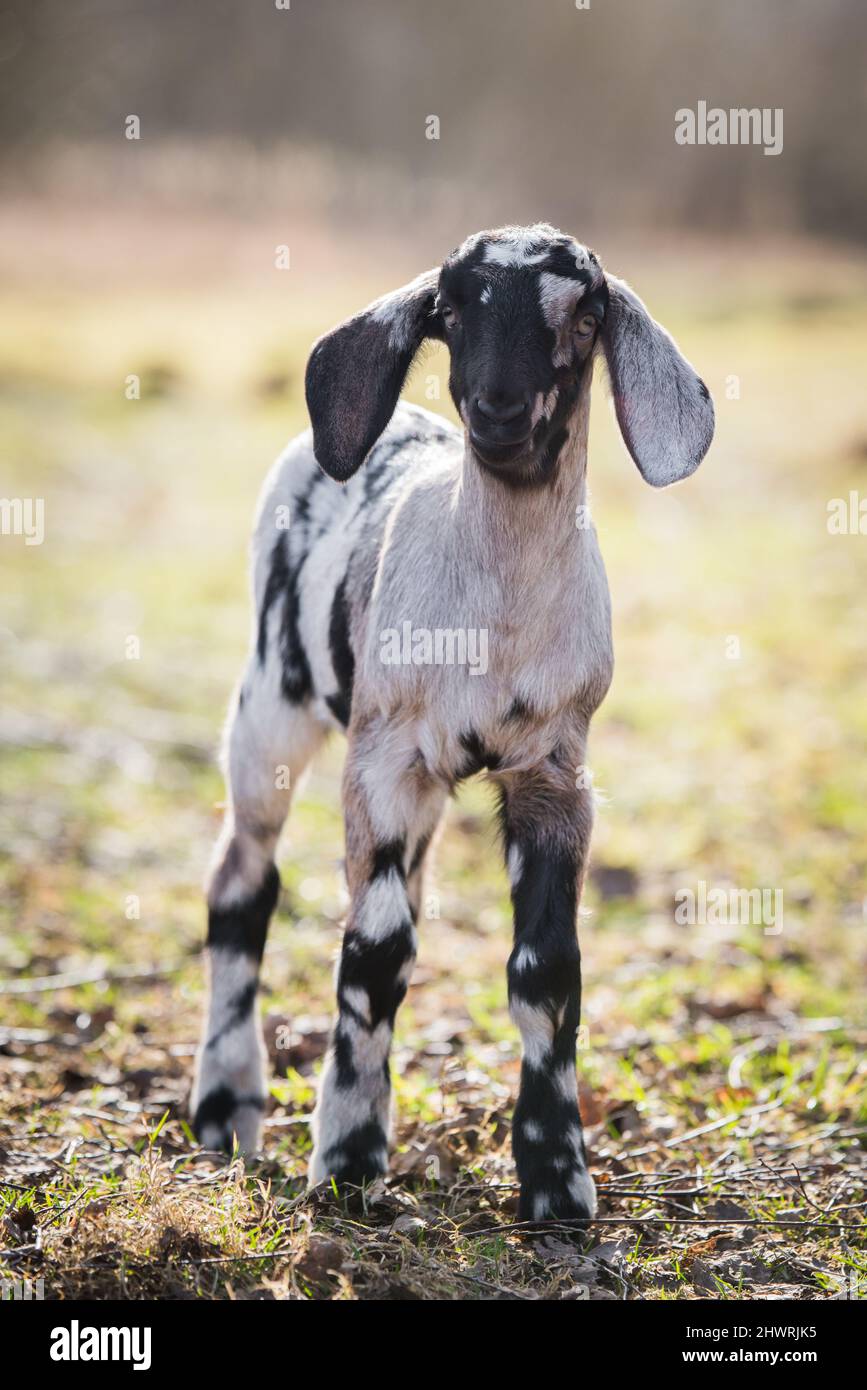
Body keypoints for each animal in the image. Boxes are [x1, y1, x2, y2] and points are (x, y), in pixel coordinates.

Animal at [191, 223, 714, 1223]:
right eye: (452, 307)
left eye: (583, 314)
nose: (498, 410)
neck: (494, 620)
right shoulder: (382, 762)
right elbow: (375, 954)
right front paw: (347, 1159)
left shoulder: (554, 773)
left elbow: (547, 970)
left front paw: (556, 1176)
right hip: (270, 705)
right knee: (242, 880)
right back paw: (225, 1105)